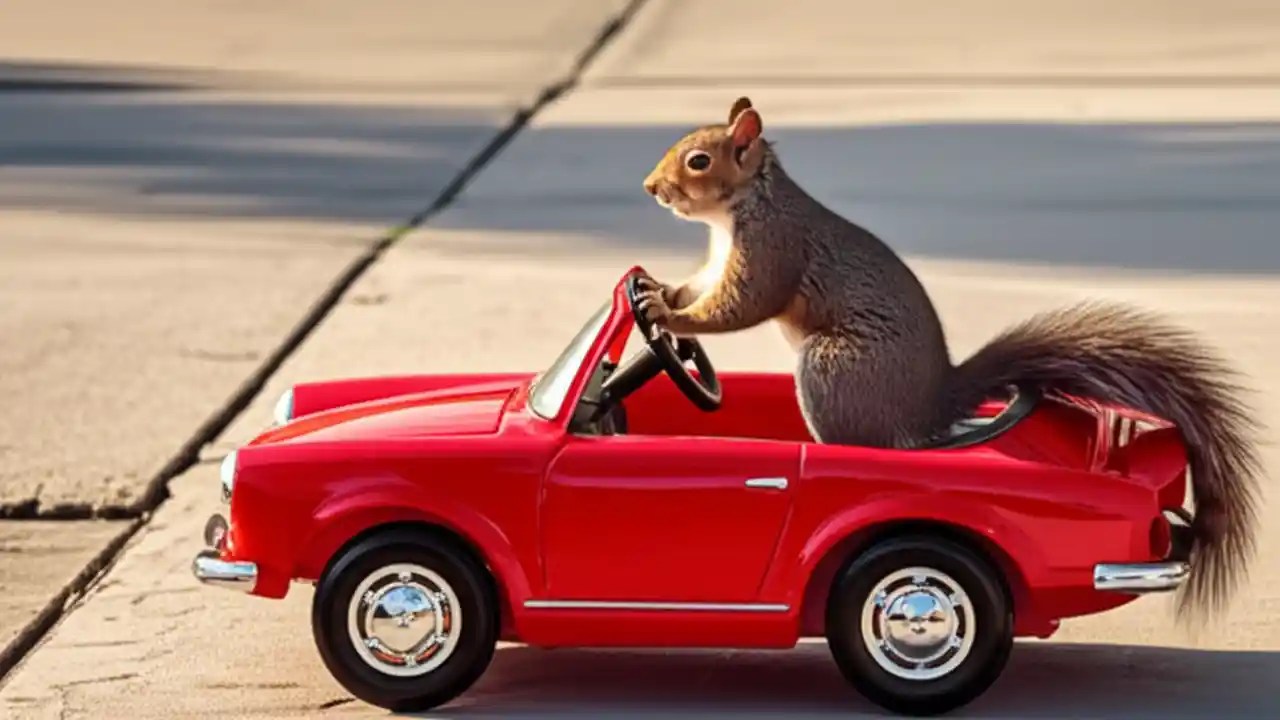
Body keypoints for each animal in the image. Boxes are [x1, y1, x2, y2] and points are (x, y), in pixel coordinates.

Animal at [634, 96, 1260, 620]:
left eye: (697, 160)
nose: (650, 188)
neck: (743, 207)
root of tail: (933, 406)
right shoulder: (719, 260)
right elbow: (700, 287)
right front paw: (658, 292)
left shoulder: (772, 249)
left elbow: (738, 305)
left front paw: (666, 316)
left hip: (832, 367)